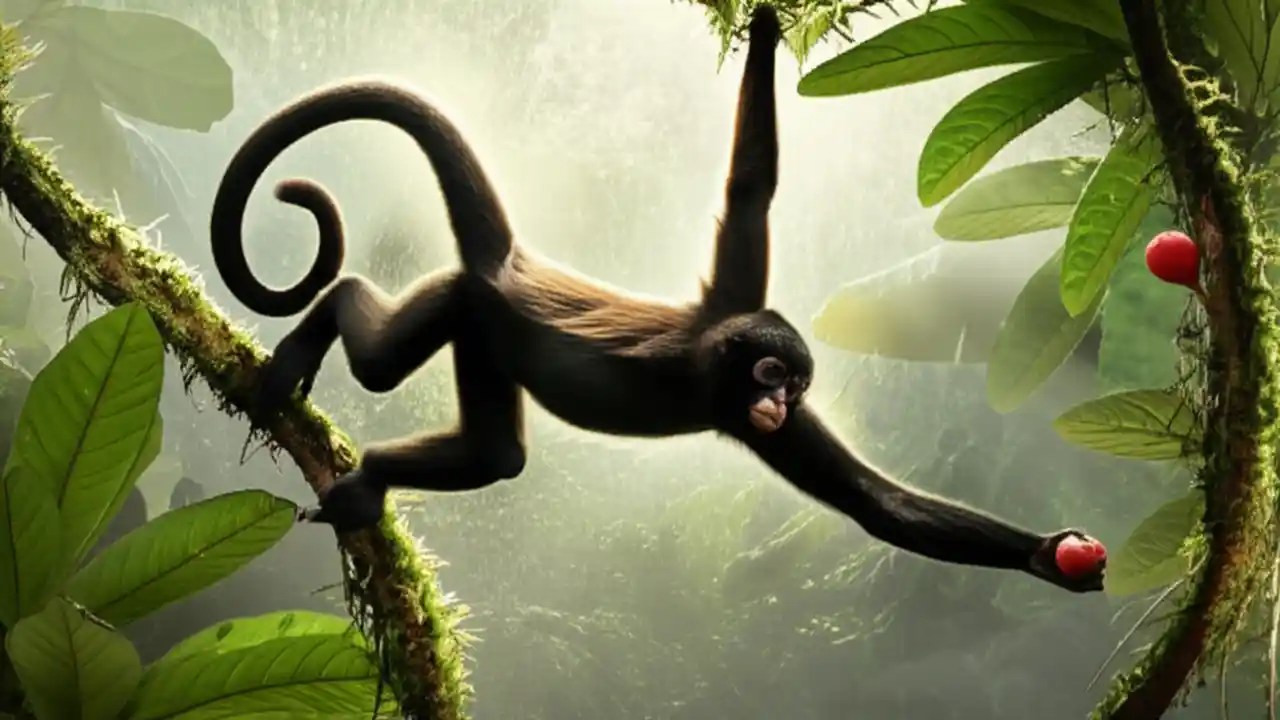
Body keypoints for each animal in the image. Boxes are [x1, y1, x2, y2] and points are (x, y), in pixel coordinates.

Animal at [208, 6, 1104, 593]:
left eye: (796, 386)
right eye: (773, 374)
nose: (777, 402)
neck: (710, 367)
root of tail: (512, 264)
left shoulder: (766, 404)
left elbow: (879, 507)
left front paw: (1047, 556)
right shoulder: (732, 305)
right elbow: (750, 186)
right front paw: (767, 28)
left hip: (486, 336)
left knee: (498, 454)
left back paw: (371, 480)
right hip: (471, 302)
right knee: (387, 360)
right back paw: (328, 316)